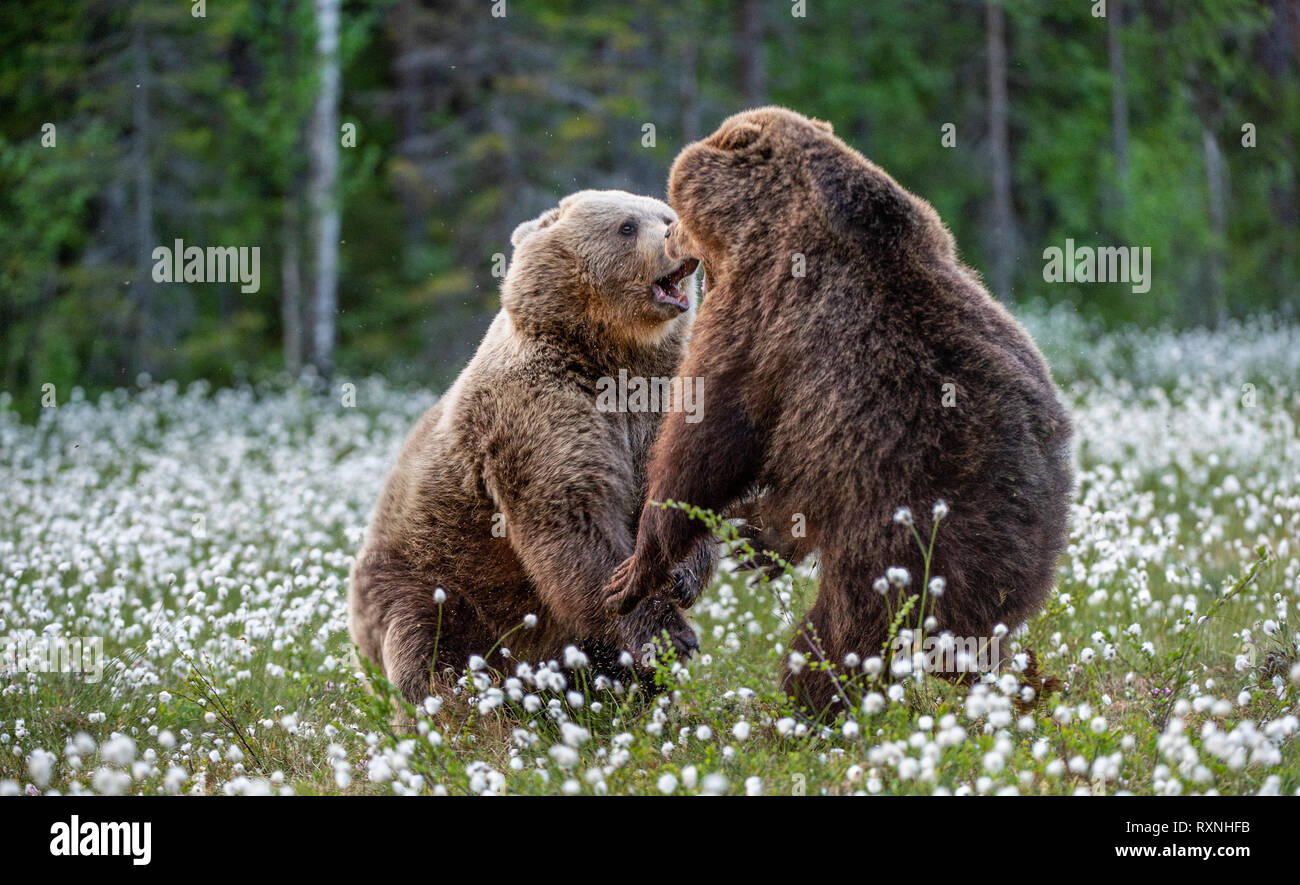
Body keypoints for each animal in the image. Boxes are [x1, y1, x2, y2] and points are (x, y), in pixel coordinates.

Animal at [349, 189, 714, 705]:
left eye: (665, 214)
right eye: (627, 226)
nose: (678, 234)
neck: (611, 357)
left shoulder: (660, 405)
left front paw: (681, 575)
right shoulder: (537, 417)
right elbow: (574, 523)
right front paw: (668, 632)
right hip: (426, 579)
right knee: (427, 649)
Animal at [603, 107, 1074, 715]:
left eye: (676, 212)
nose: (670, 235)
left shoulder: (758, 313)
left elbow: (708, 440)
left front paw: (633, 572)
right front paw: (755, 540)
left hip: (907, 532)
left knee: (842, 628)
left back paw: (811, 704)